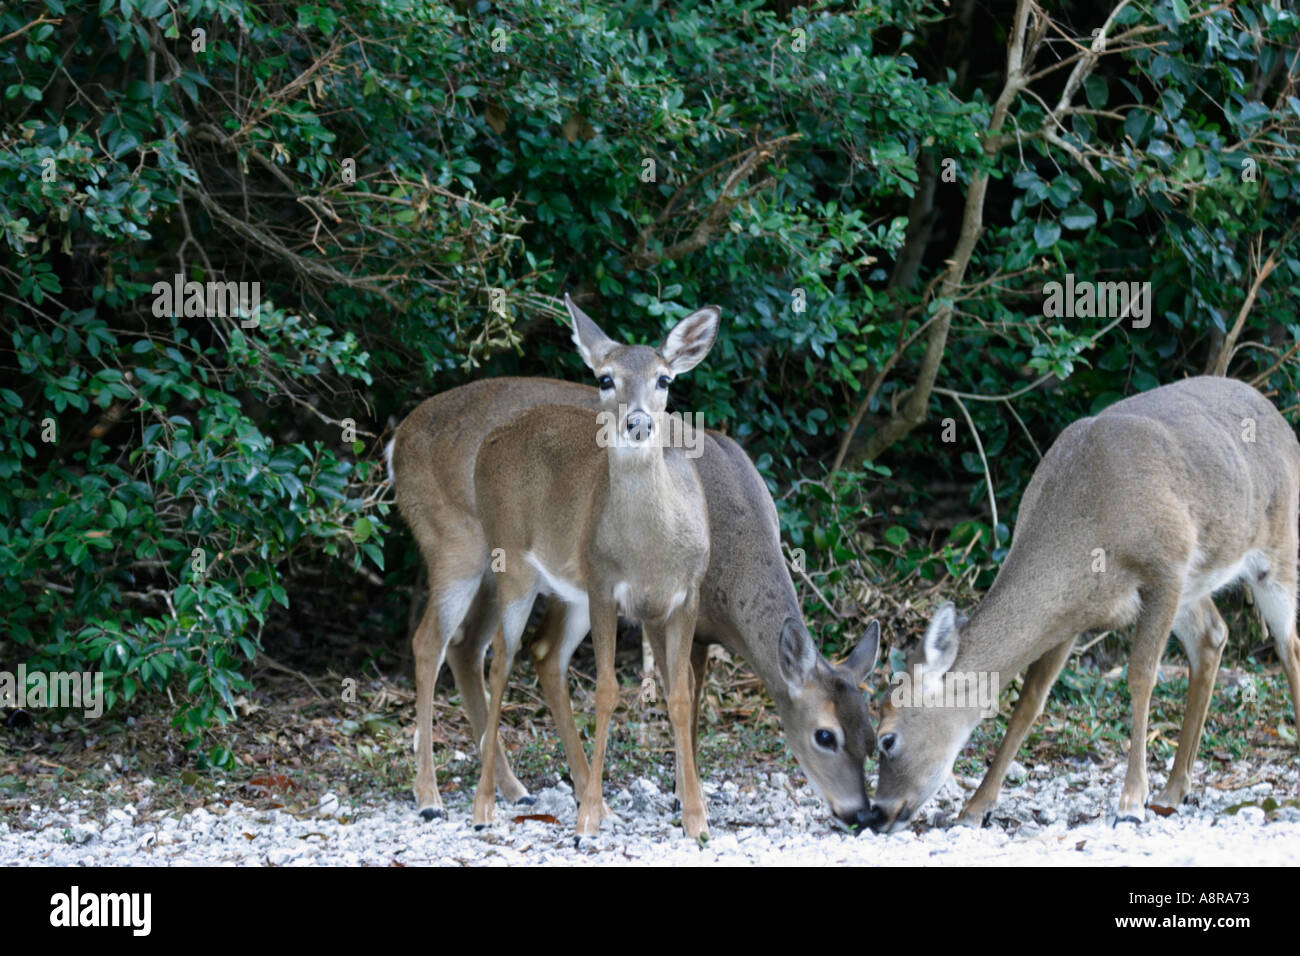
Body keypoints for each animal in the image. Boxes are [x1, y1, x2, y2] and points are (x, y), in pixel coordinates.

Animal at [387, 301, 880, 835]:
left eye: (873, 737)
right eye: (824, 735)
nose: (861, 813)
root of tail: (396, 442)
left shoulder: (687, 615)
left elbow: (689, 698)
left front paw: (687, 798)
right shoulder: (662, 612)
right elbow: (677, 692)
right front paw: (687, 797)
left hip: (541, 582)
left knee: (501, 649)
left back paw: (527, 790)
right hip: (456, 544)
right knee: (432, 642)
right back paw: (431, 796)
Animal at [867, 375, 1300, 834]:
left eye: (887, 738)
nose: (878, 813)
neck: (1088, 526)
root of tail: (1280, 419)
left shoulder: (1165, 565)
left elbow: (1140, 677)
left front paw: (1130, 802)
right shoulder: (1072, 614)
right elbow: (1029, 703)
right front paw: (974, 808)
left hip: (1274, 550)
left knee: (1287, 645)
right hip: (1195, 583)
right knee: (1213, 636)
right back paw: (1173, 791)